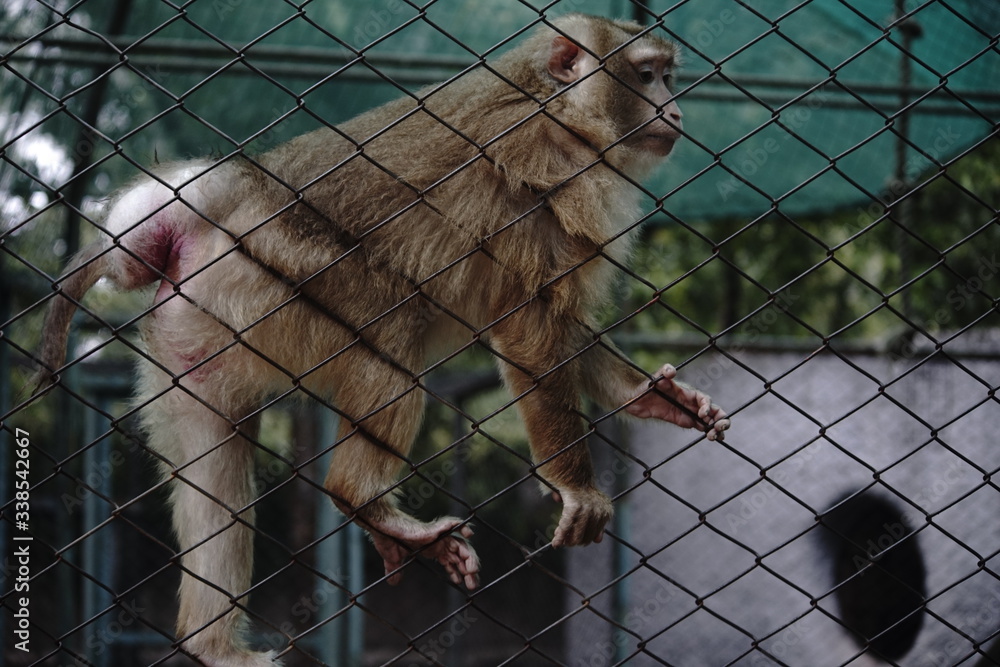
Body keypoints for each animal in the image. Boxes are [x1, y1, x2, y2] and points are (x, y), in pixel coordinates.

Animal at [33, 14, 729, 667]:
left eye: (669, 77)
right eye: (646, 76)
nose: (674, 110)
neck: (558, 112)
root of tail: (213, 214)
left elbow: (560, 325)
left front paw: (650, 397)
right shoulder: (542, 174)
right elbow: (528, 328)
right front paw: (575, 486)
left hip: (192, 333)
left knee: (217, 451)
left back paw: (214, 644)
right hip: (277, 275)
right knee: (392, 334)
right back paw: (362, 498)